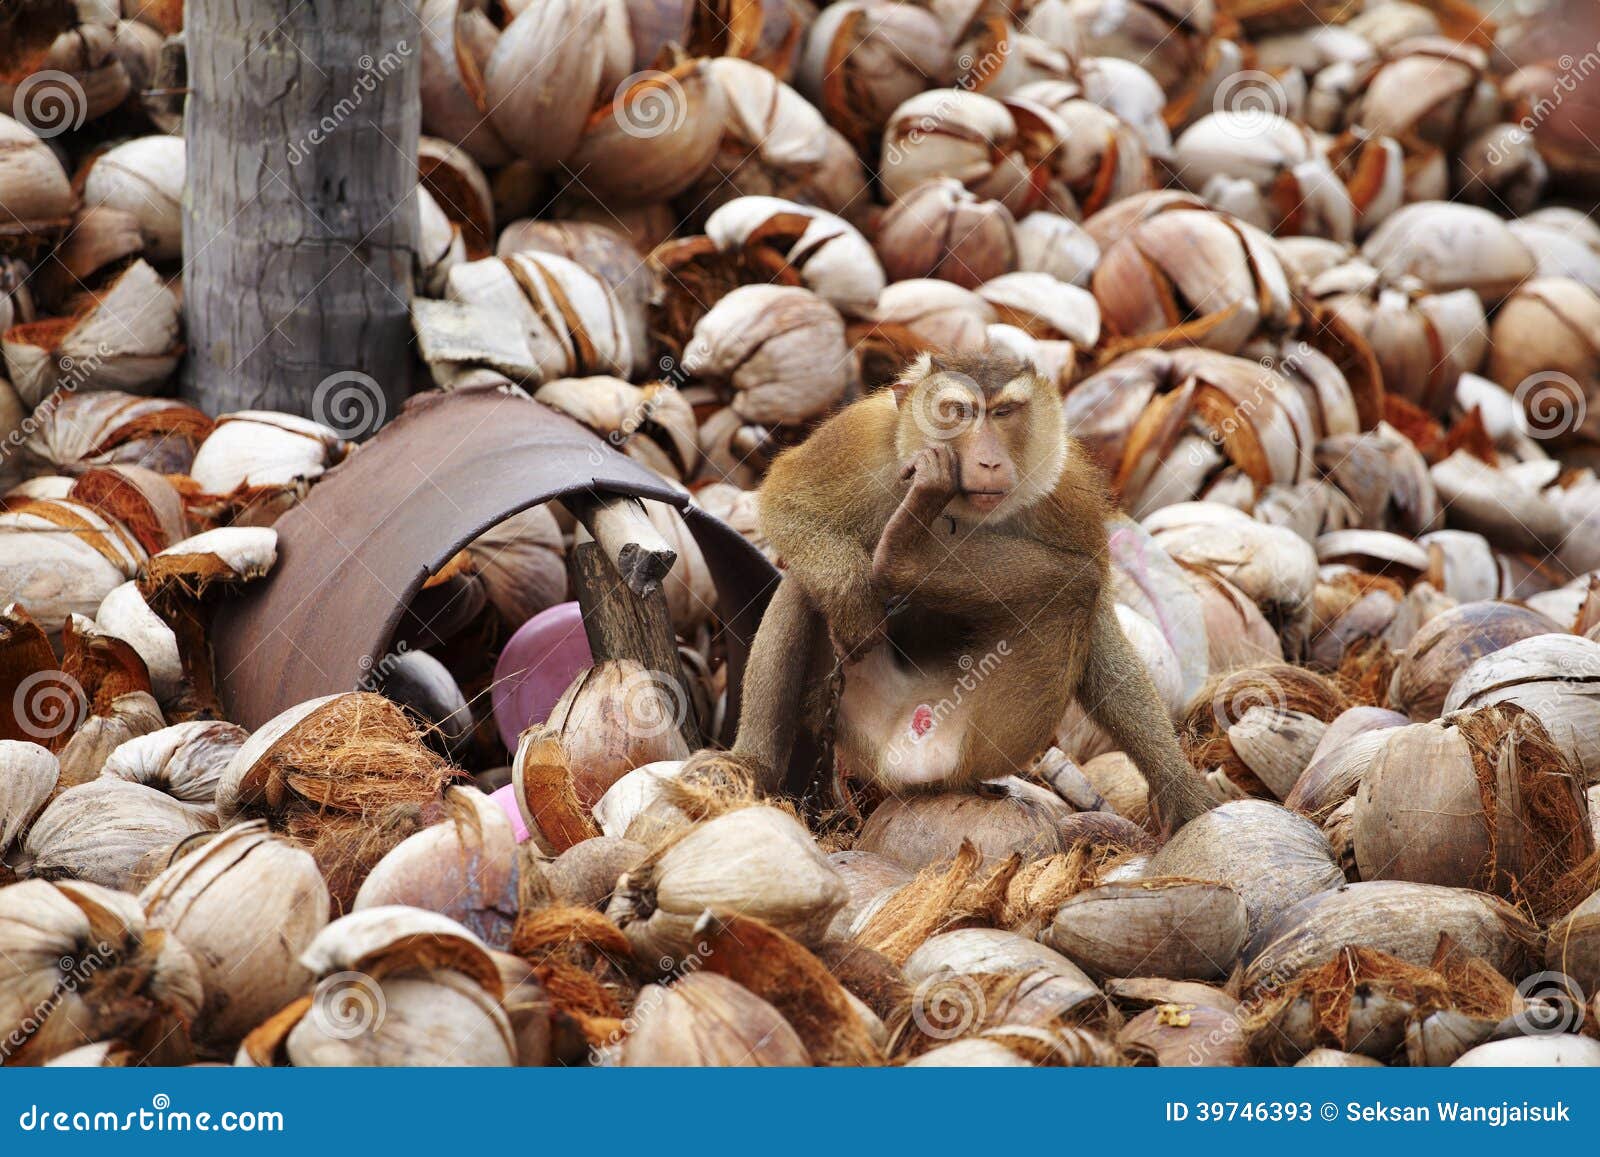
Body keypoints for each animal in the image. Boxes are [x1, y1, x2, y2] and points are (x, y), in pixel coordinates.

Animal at [710, 350, 1217, 834]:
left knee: (1076, 586)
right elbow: (788, 500)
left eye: (1004, 412)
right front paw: (853, 600)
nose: (989, 461)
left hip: (980, 745)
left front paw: (1178, 784)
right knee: (803, 582)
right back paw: (755, 763)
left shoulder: (1065, 492)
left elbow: (1100, 637)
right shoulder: (864, 437)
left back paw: (904, 553)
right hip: (856, 729)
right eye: (957, 411)